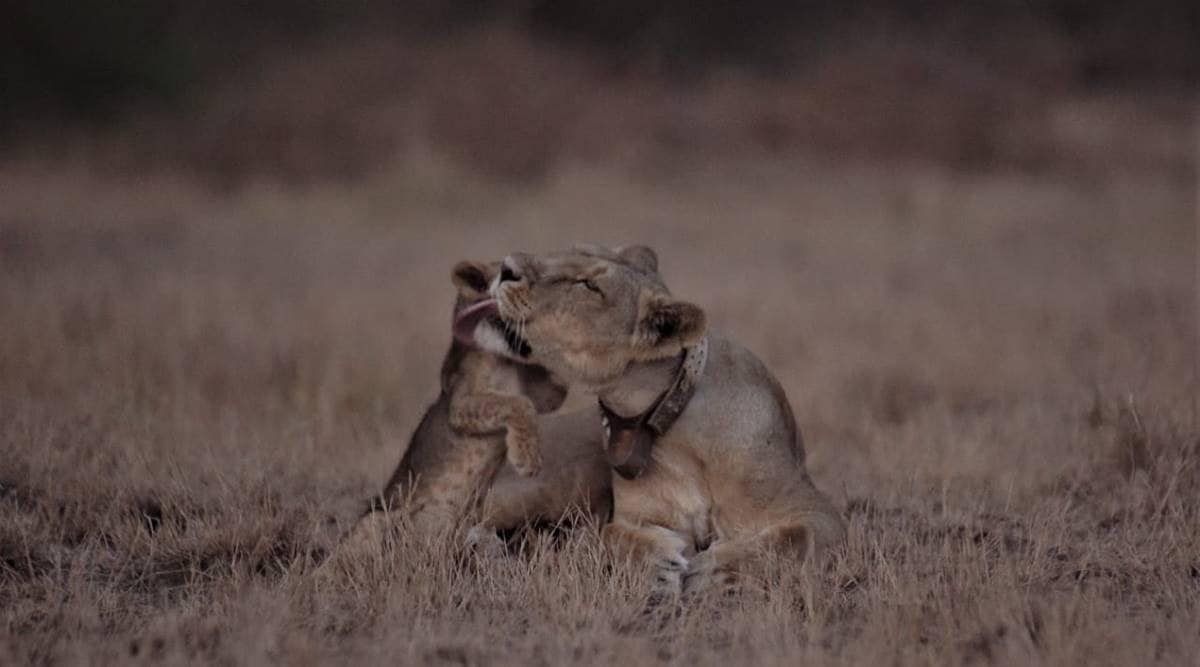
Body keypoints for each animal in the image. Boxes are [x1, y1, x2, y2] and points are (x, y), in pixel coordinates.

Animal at [336, 260, 610, 556]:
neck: (509, 359)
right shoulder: (463, 401)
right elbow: (517, 403)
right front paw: (526, 459)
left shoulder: (544, 394)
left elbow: (547, 390)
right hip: (379, 517)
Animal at [478, 244, 845, 592]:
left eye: (589, 286)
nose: (506, 267)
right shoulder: (636, 516)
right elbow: (613, 533)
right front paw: (658, 562)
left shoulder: (822, 515)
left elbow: (792, 540)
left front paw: (715, 571)